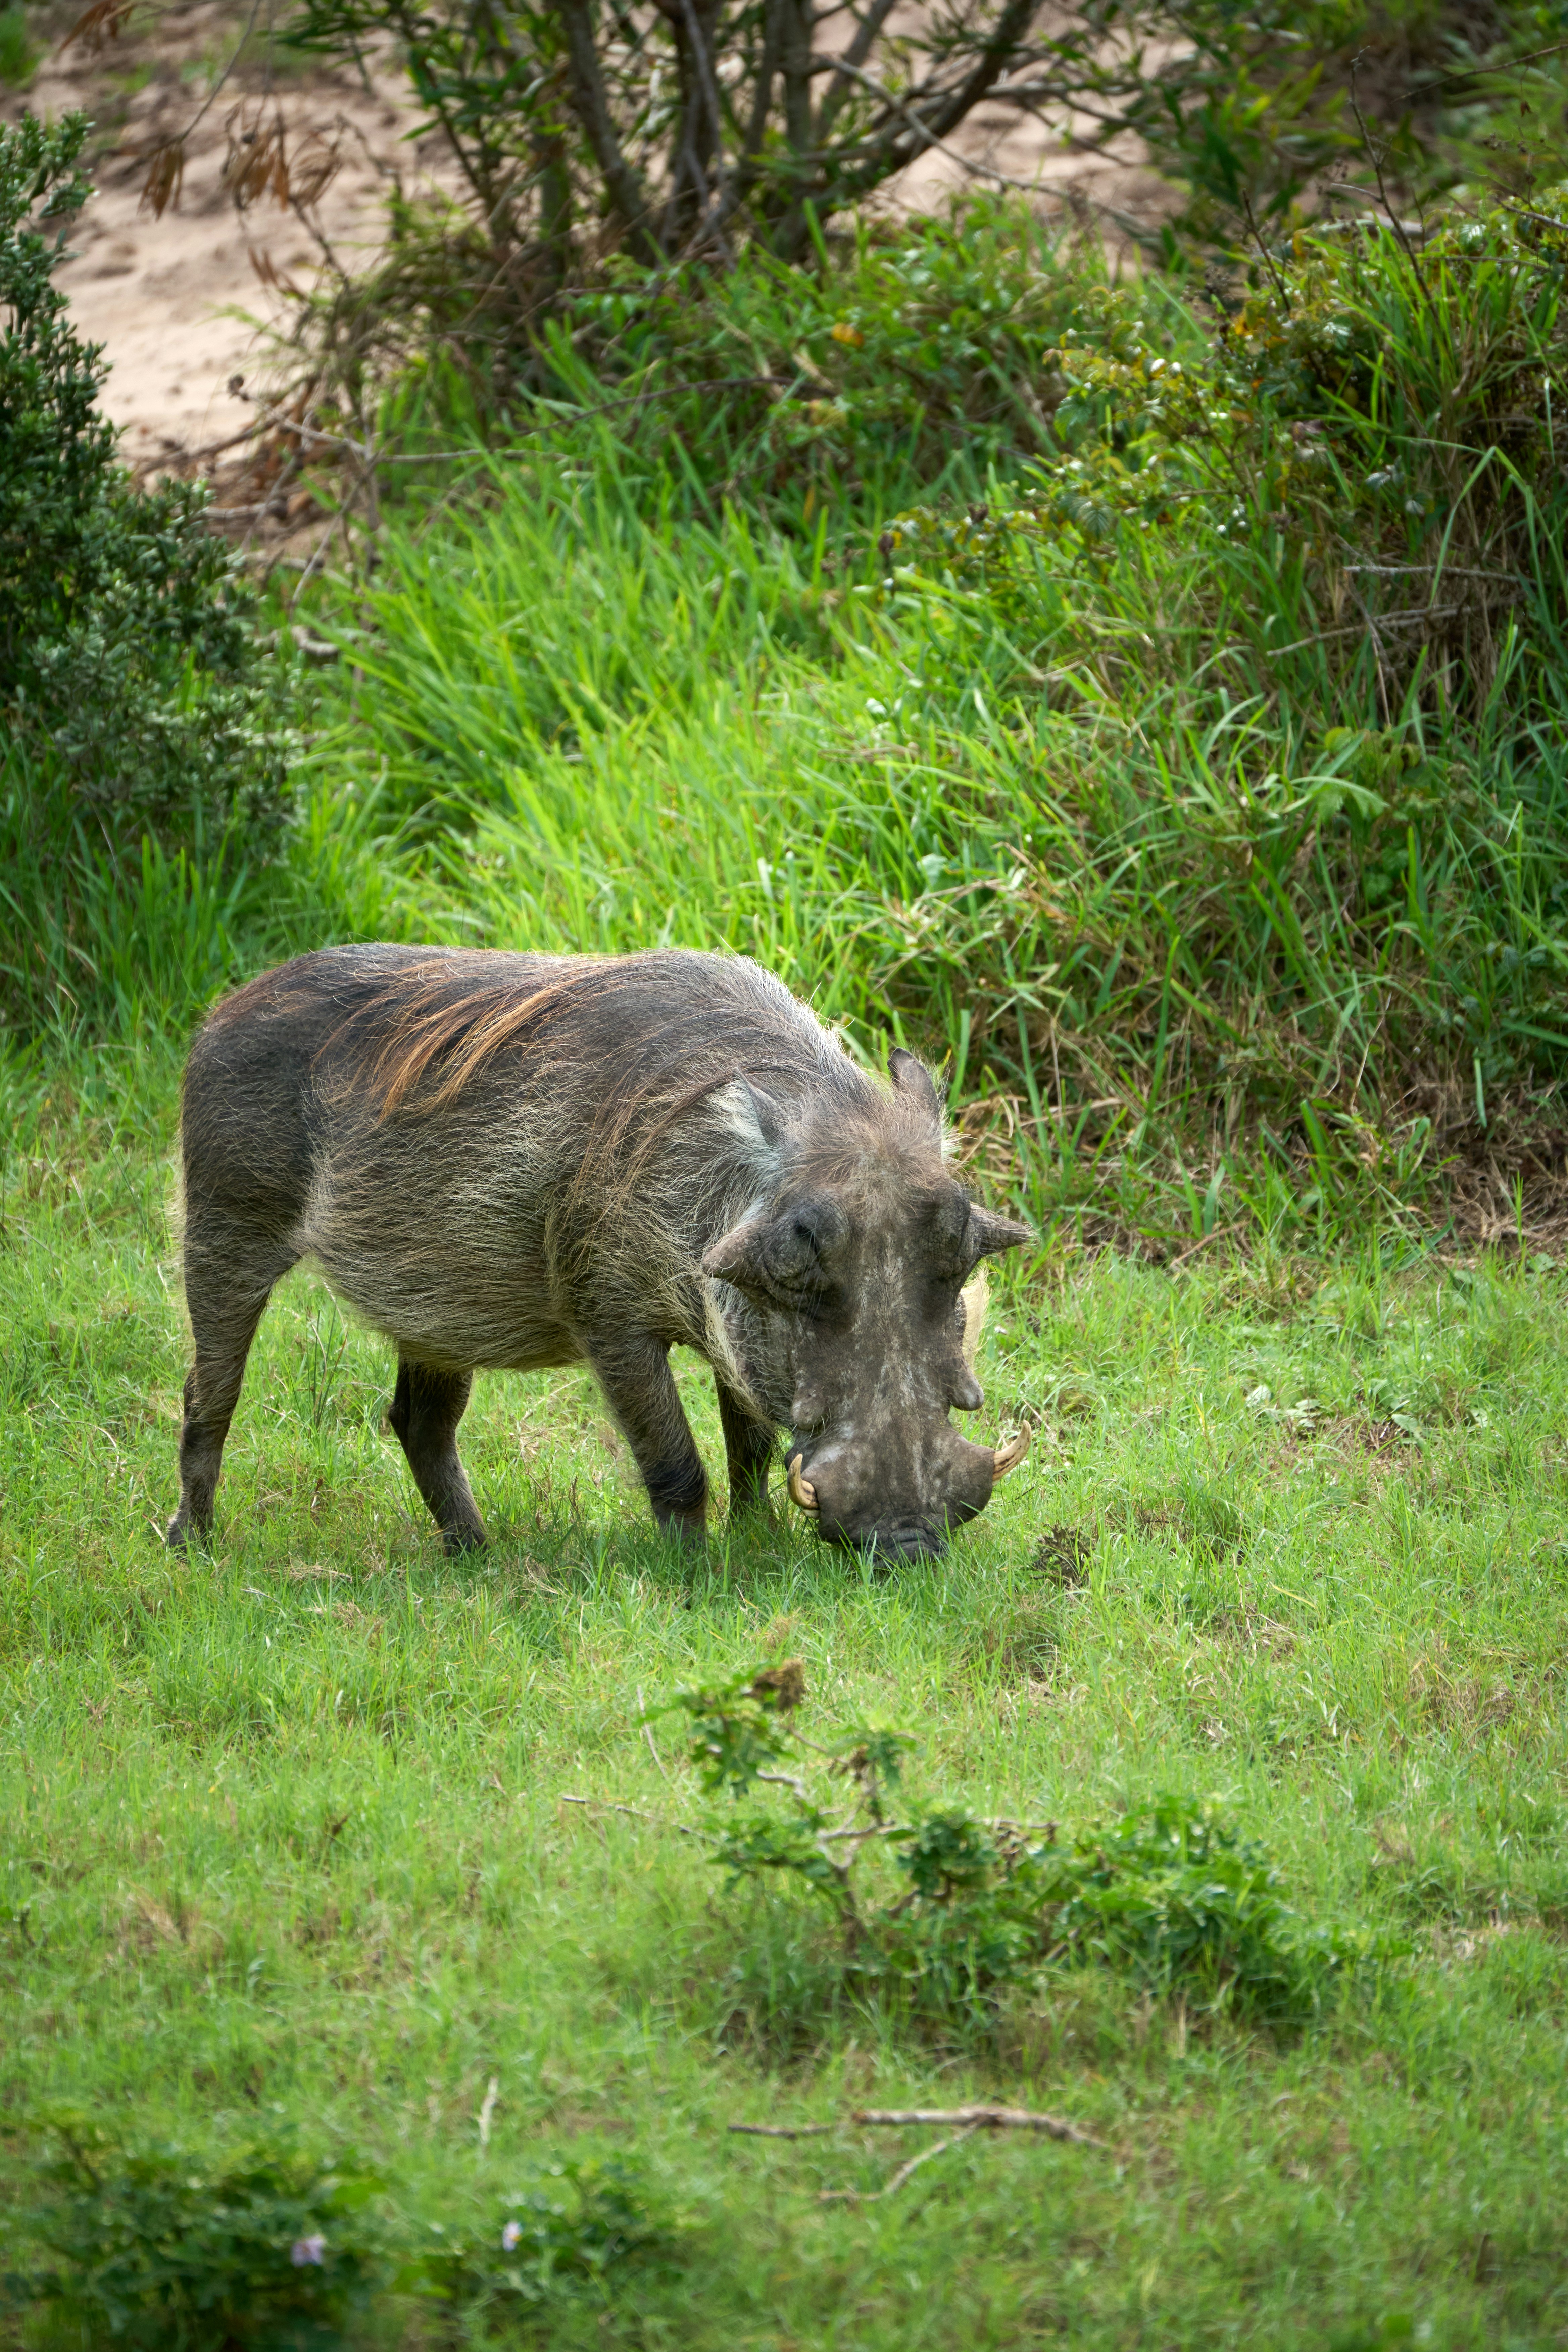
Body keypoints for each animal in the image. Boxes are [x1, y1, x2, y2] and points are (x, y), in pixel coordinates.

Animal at [168, 945, 1031, 1559]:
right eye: (798, 1268)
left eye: (960, 1260)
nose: (907, 1541)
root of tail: (224, 1009)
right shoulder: (608, 1314)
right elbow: (677, 1461)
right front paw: (693, 1574)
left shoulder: (726, 1319)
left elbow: (749, 1443)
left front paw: (755, 1541)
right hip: (224, 1226)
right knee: (209, 1397)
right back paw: (193, 1548)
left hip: (437, 1307)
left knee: (420, 1424)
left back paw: (476, 1556)